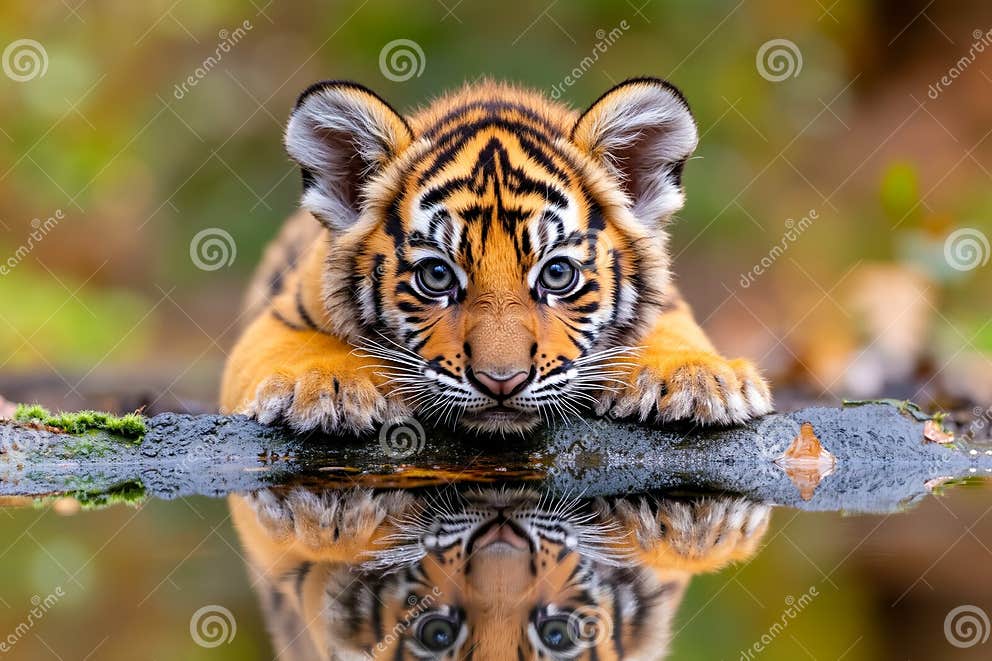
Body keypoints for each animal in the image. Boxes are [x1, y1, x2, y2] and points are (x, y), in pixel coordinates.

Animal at [219, 78, 773, 435]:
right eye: (437, 276)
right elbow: (297, 348)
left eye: (557, 274)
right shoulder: (275, 319)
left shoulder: (670, 307)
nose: (501, 383)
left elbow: (671, 332)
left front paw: (696, 379)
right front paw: (329, 387)